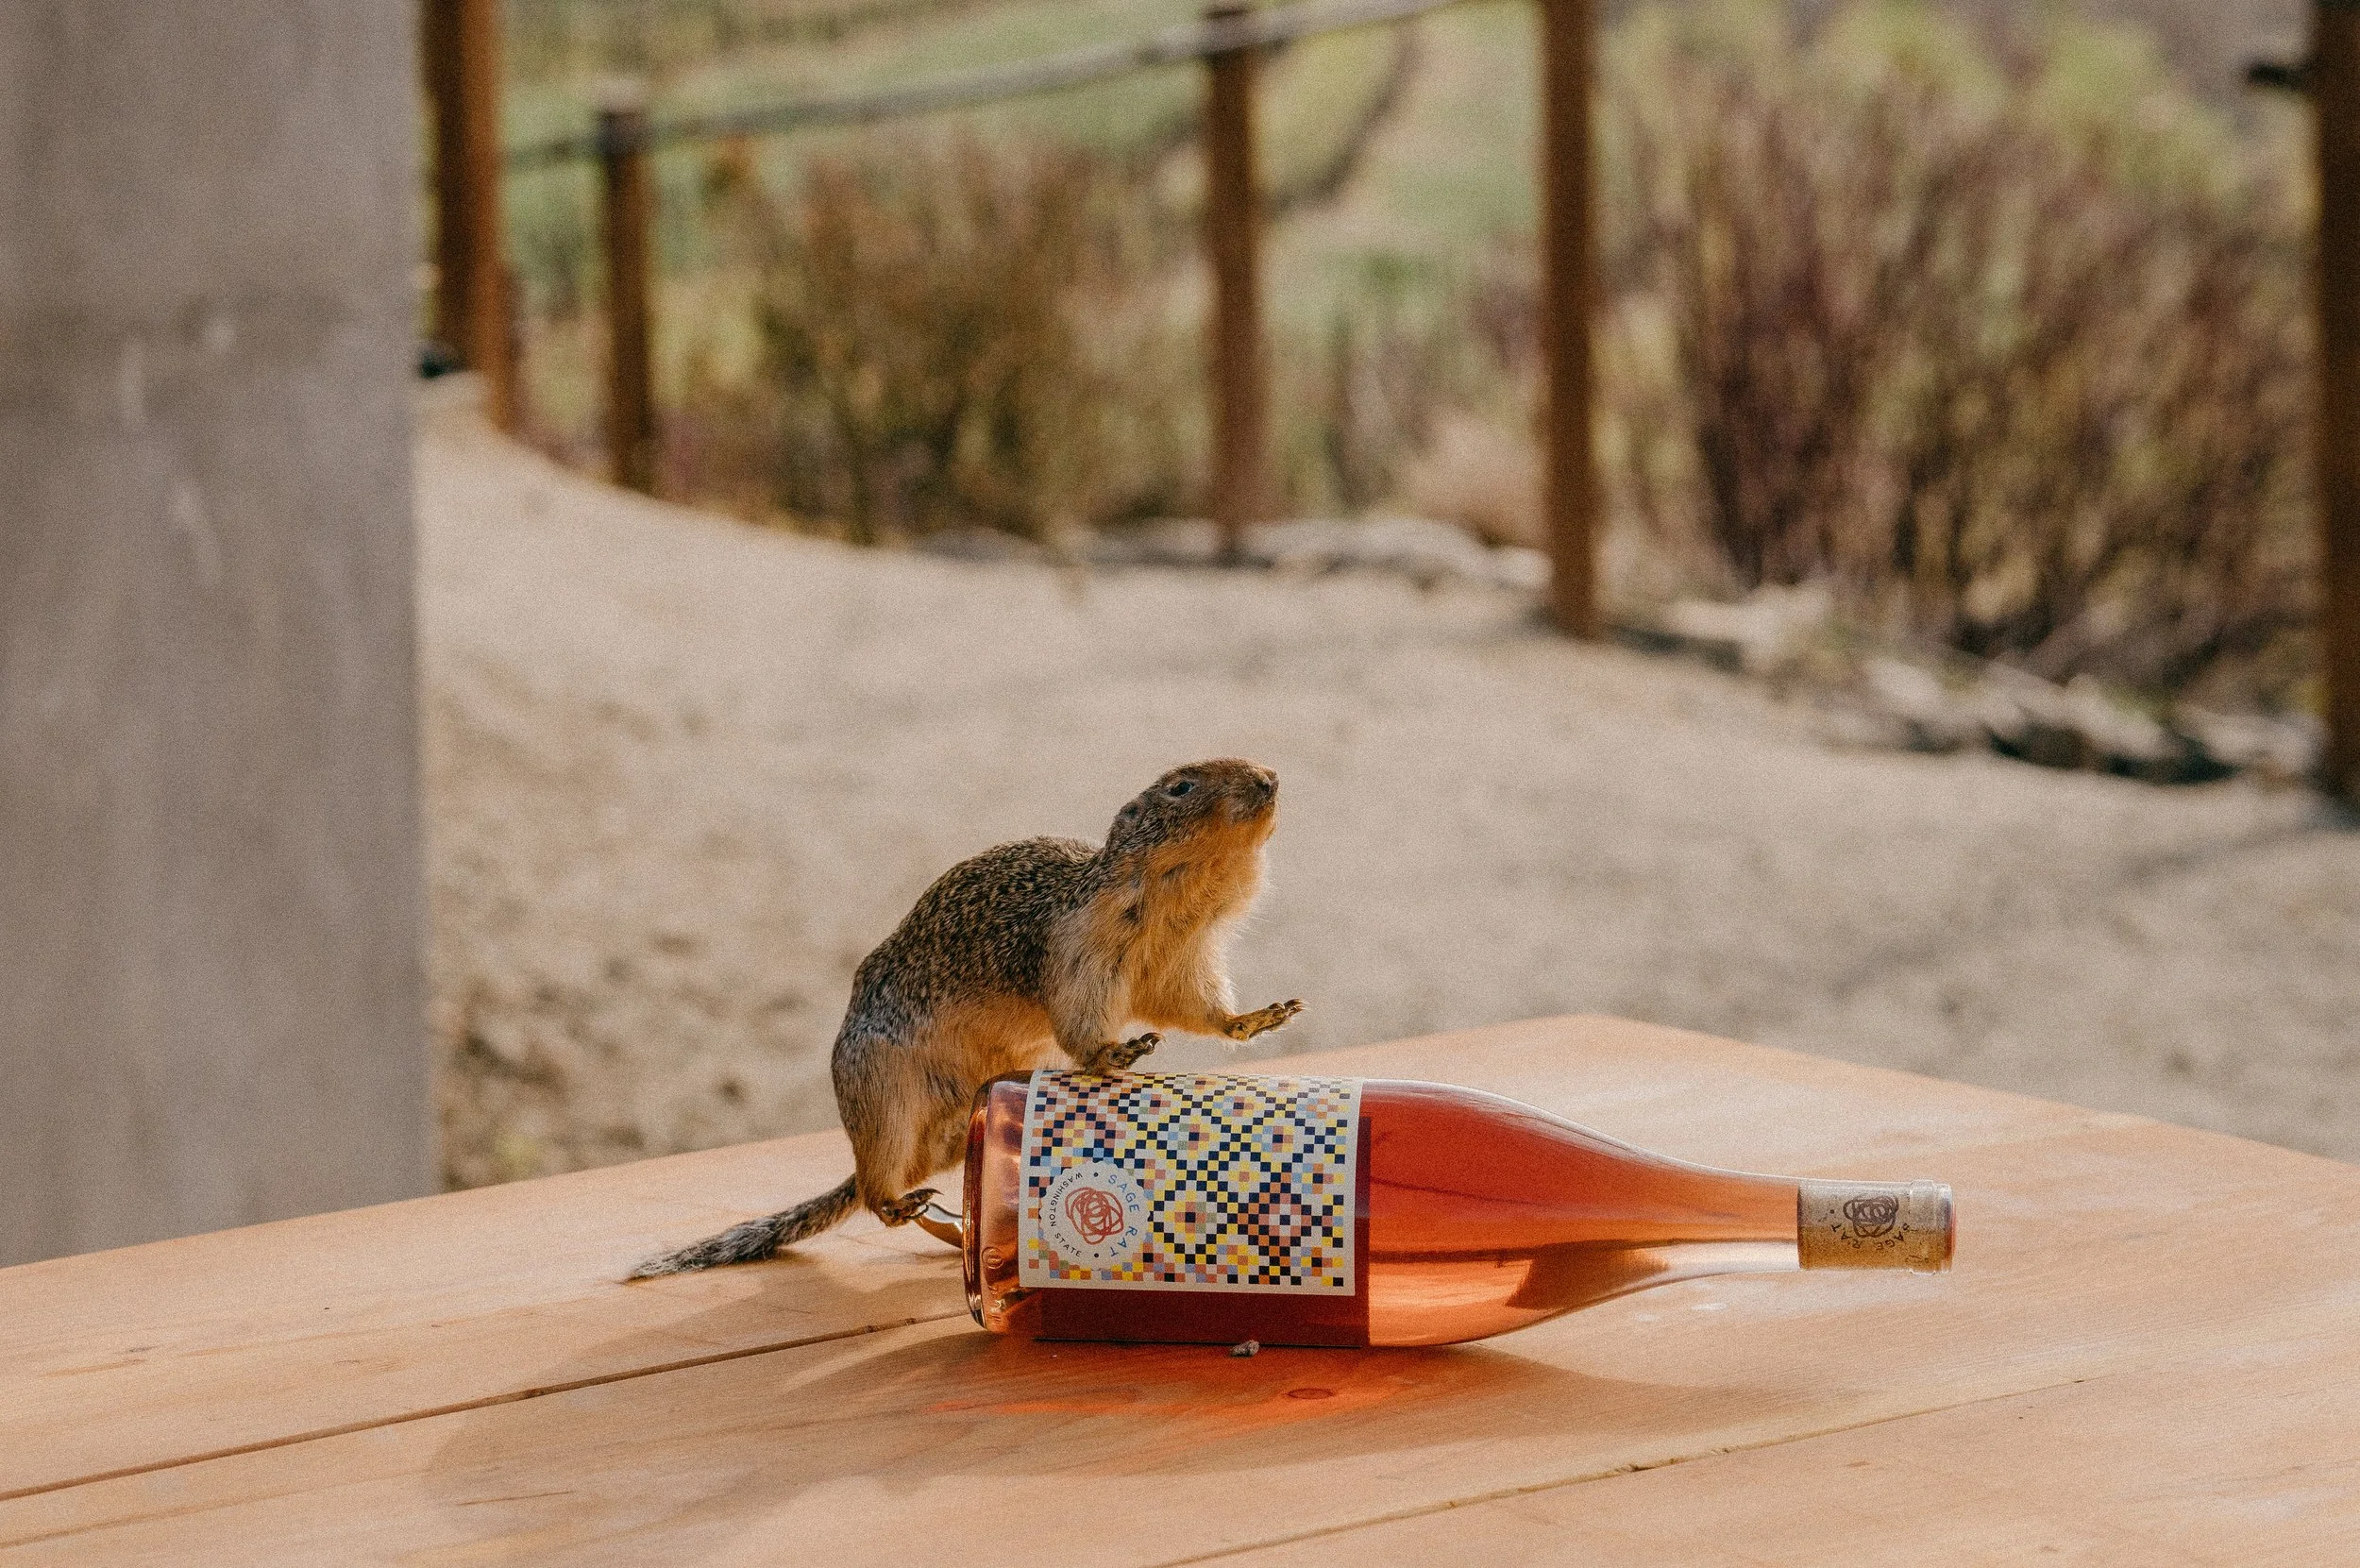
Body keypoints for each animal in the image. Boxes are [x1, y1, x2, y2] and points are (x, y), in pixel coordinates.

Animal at [629, 758, 1303, 1278]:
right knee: (874, 1188)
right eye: (1181, 786)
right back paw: (903, 1203)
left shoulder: (1180, 962)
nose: (1271, 776)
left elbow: (1198, 1007)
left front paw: (1257, 1017)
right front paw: (1115, 1053)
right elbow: (1079, 1022)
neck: (1175, 902)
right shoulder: (1081, 953)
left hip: (941, 1129)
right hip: (880, 1091)